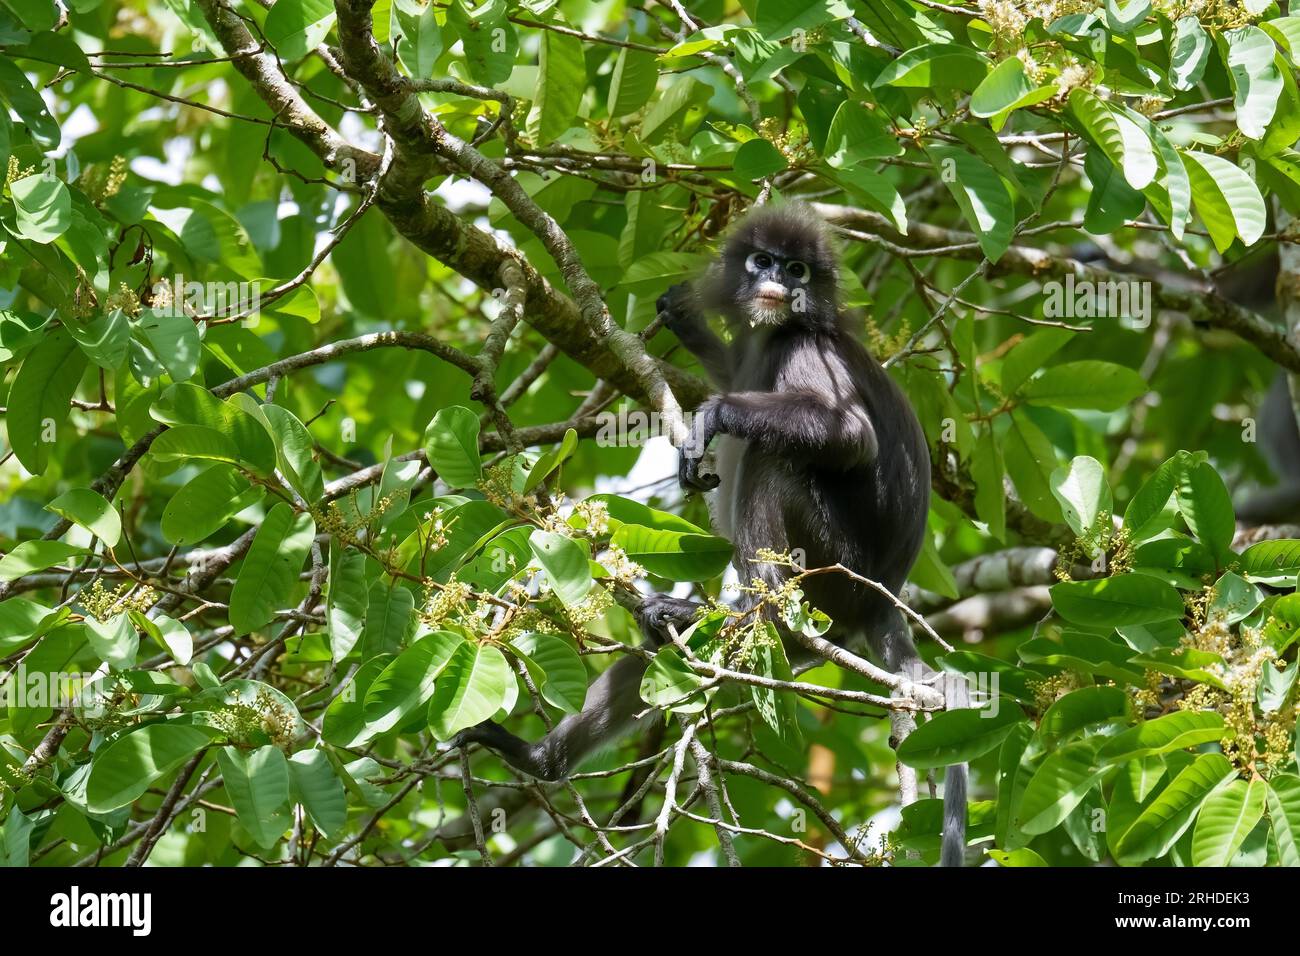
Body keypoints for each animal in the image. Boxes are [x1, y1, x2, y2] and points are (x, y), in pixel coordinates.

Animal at [454, 203, 968, 865]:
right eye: (763, 261)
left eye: (798, 269)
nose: (779, 281)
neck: (775, 330)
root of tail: (883, 599)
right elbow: (728, 364)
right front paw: (688, 319)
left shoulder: (804, 344)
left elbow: (851, 435)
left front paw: (716, 414)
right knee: (657, 653)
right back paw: (543, 757)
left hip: (835, 570)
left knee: (777, 460)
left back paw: (756, 617)